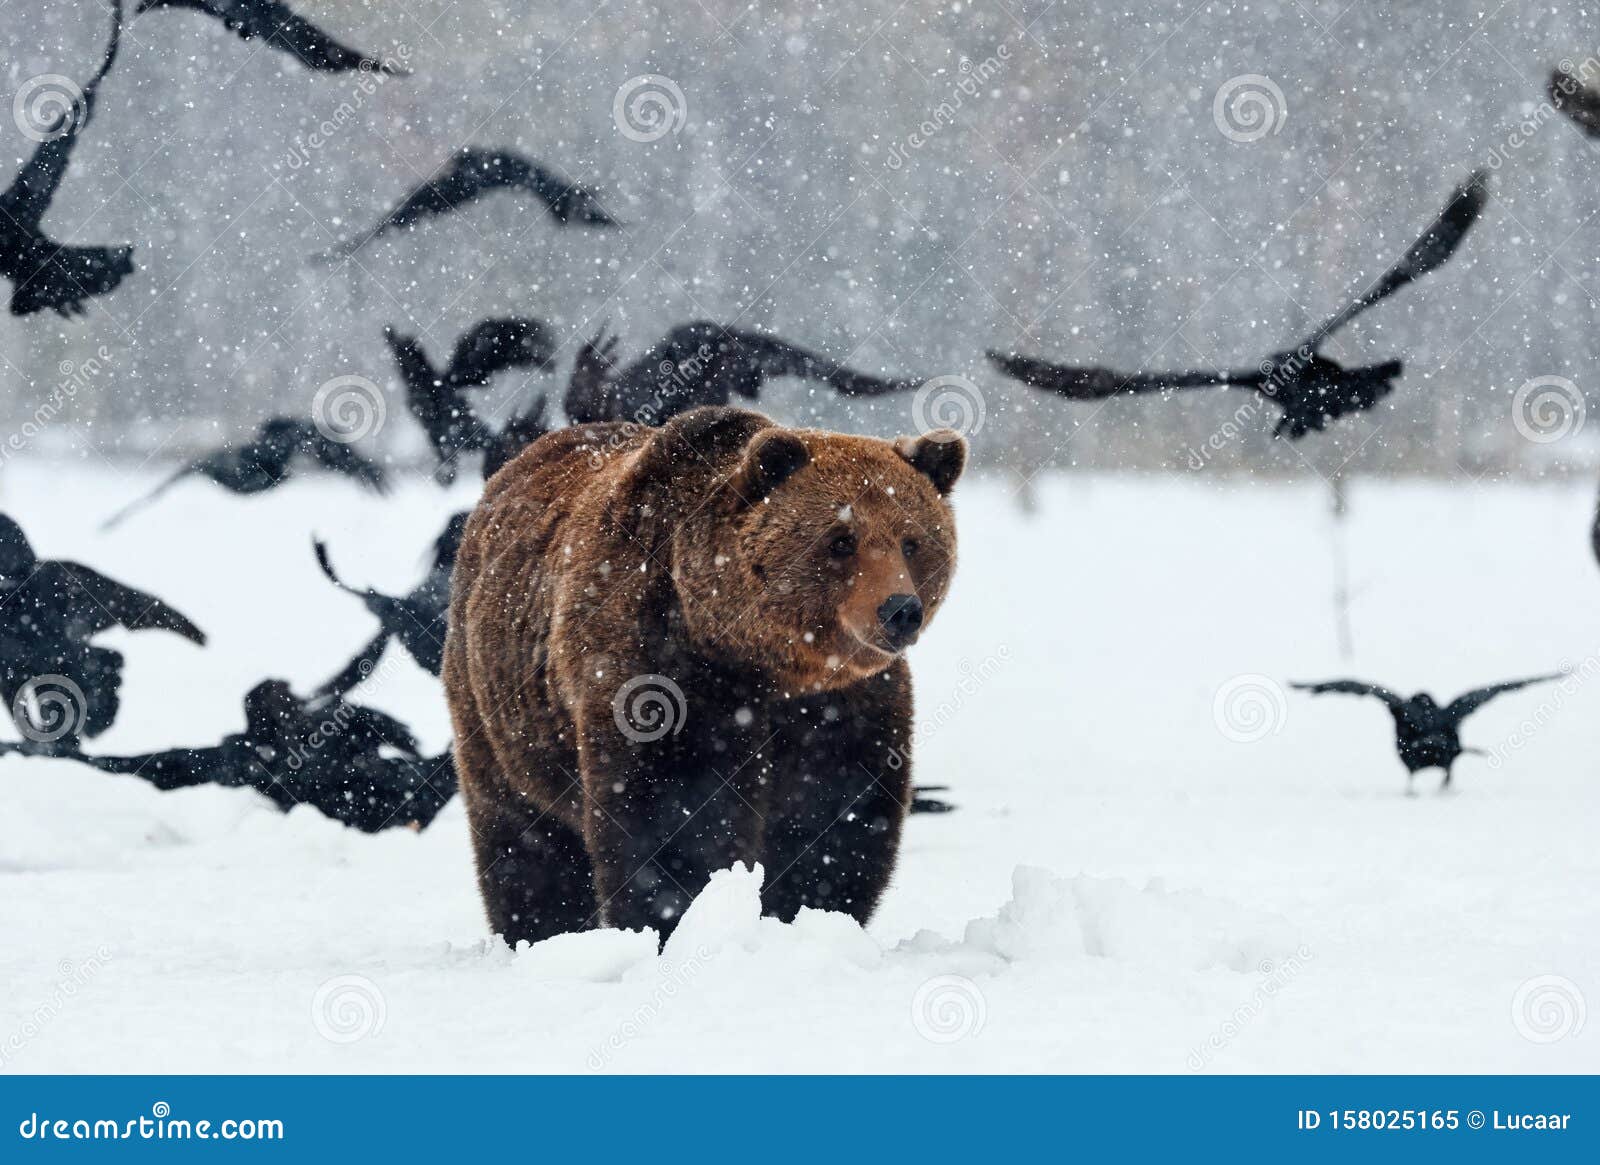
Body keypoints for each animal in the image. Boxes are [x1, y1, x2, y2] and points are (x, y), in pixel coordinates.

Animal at [442, 405, 966, 947]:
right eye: (841, 541)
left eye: (912, 541)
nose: (900, 610)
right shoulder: (667, 683)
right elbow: (675, 821)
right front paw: (674, 922)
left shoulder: (846, 707)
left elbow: (834, 820)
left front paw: (803, 916)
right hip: (503, 712)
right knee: (523, 836)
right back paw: (541, 931)